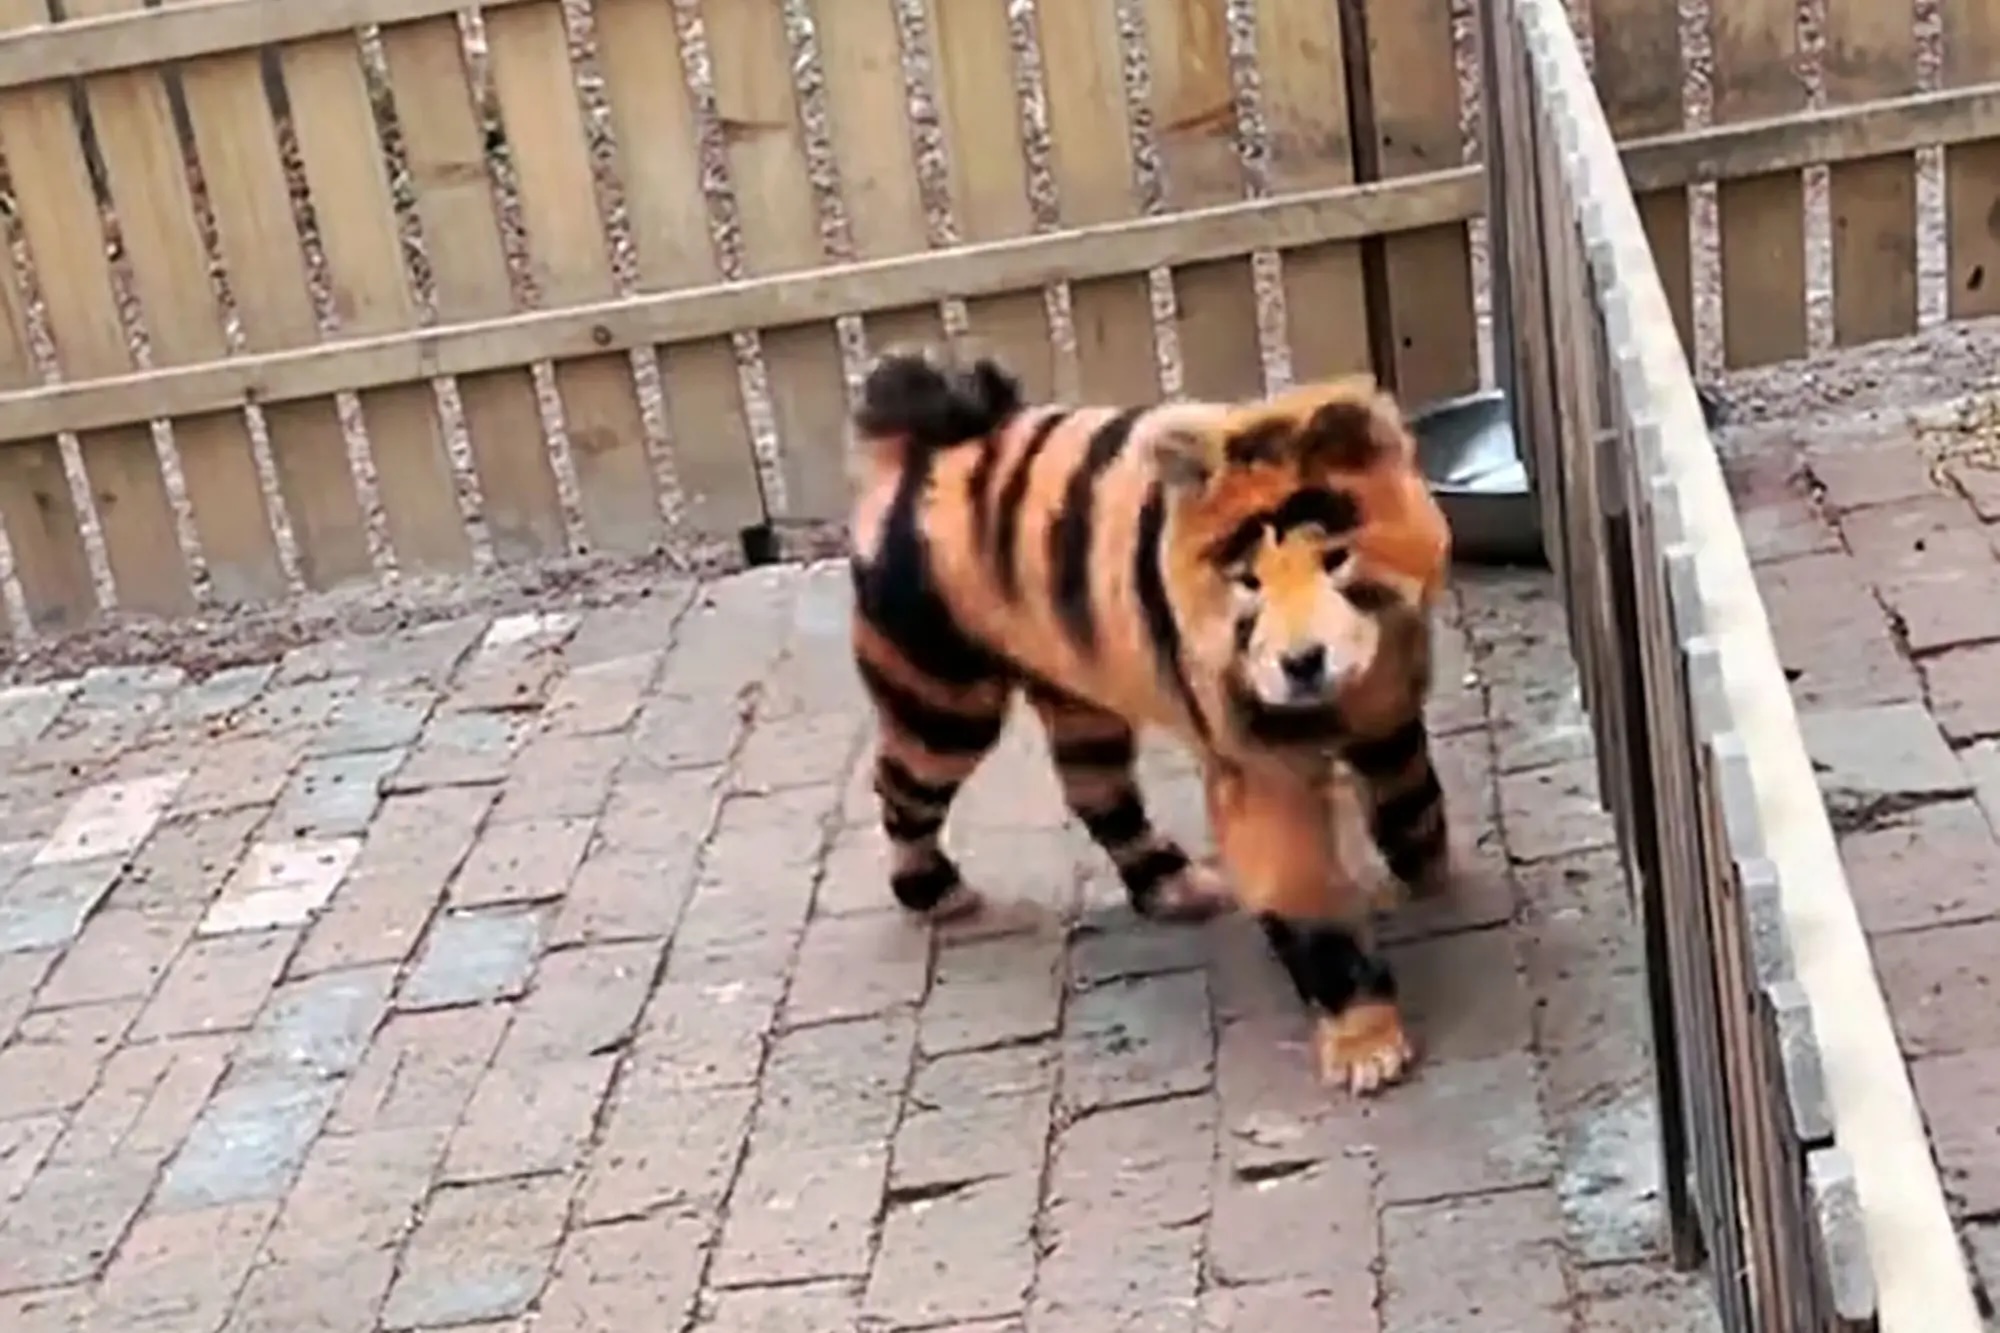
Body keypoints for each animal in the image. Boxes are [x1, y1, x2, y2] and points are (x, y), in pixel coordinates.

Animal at [846, 348, 1454, 1094]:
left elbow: (1412, 795)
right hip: (943, 697)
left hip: (1079, 702)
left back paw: (1179, 887)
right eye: (1248, 580)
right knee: (900, 786)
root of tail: (914, 452)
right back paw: (939, 894)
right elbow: (1310, 899)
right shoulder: (1260, 774)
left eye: (1334, 557)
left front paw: (1428, 872)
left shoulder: (1389, 708)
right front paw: (1368, 1052)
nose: (1302, 662)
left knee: (1095, 791)